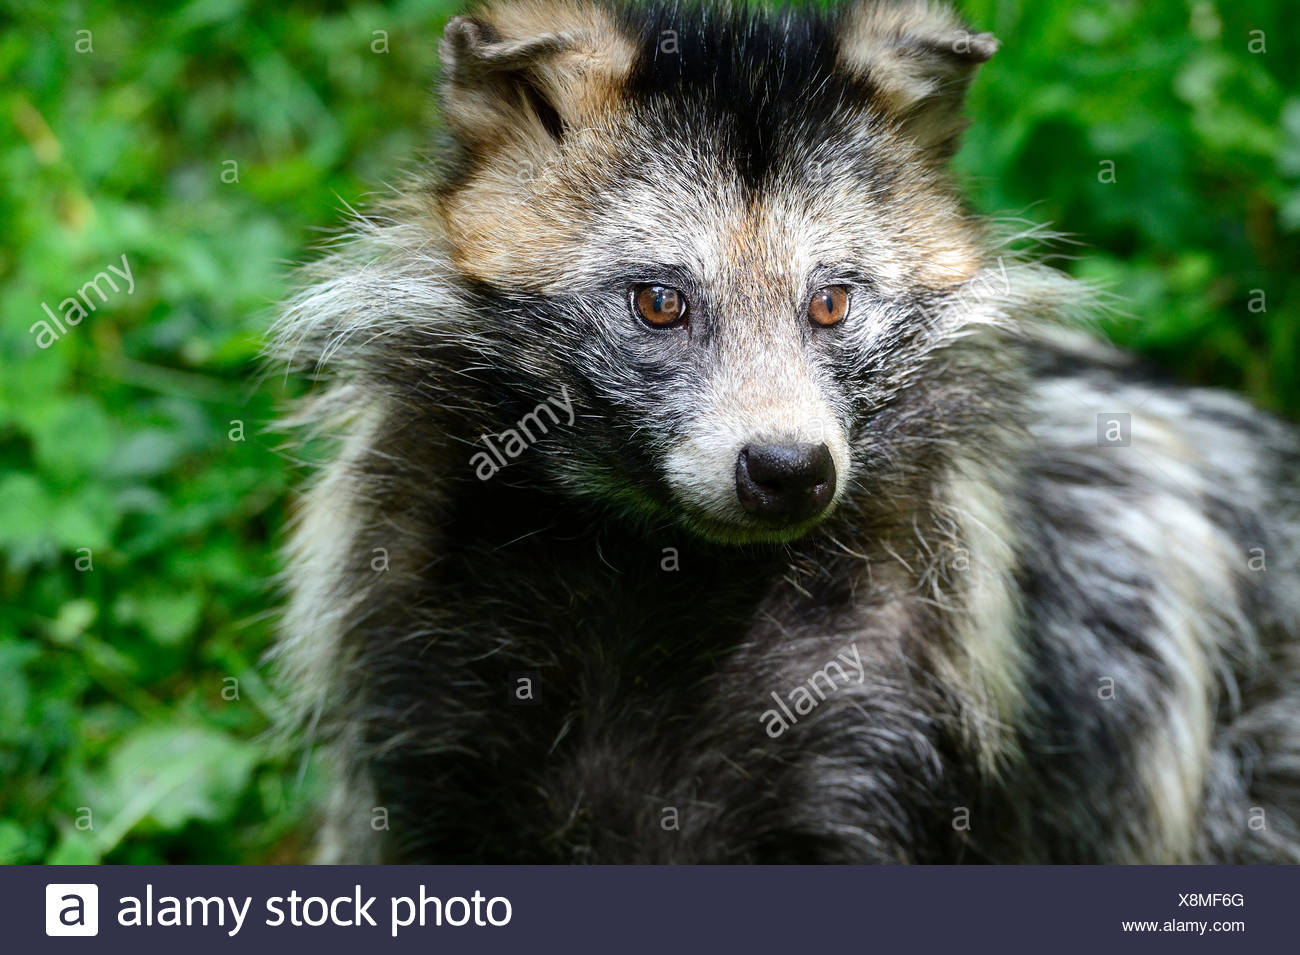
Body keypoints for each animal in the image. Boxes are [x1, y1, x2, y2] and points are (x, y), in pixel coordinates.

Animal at [271, 0, 1300, 863]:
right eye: (659, 302)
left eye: (832, 301)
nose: (787, 469)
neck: (660, 574)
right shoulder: (424, 668)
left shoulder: (900, 699)